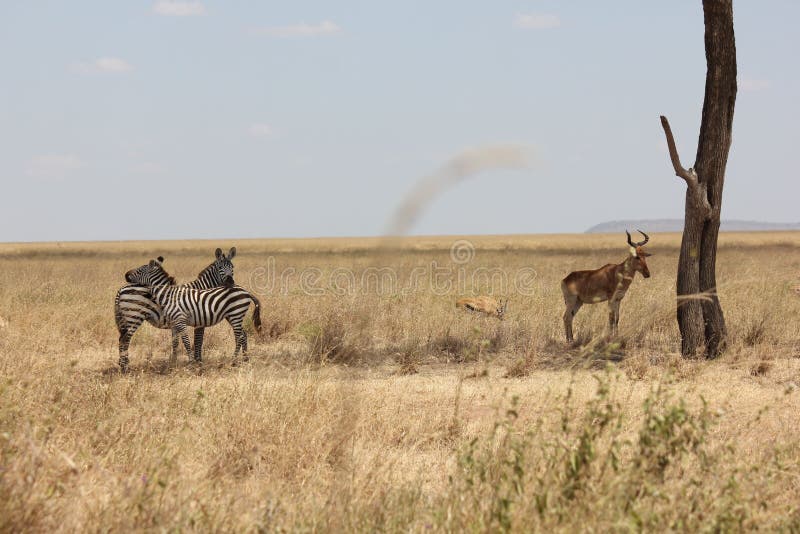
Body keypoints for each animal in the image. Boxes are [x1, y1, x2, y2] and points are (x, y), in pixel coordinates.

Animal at [124, 258, 262, 364]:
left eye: (140, 270)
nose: (126, 275)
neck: (169, 294)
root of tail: (246, 291)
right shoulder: (176, 322)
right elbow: (177, 342)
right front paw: (174, 362)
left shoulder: (182, 321)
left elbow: (188, 341)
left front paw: (191, 362)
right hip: (233, 316)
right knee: (243, 334)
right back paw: (245, 359)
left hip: (235, 314)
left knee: (239, 336)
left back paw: (233, 360)